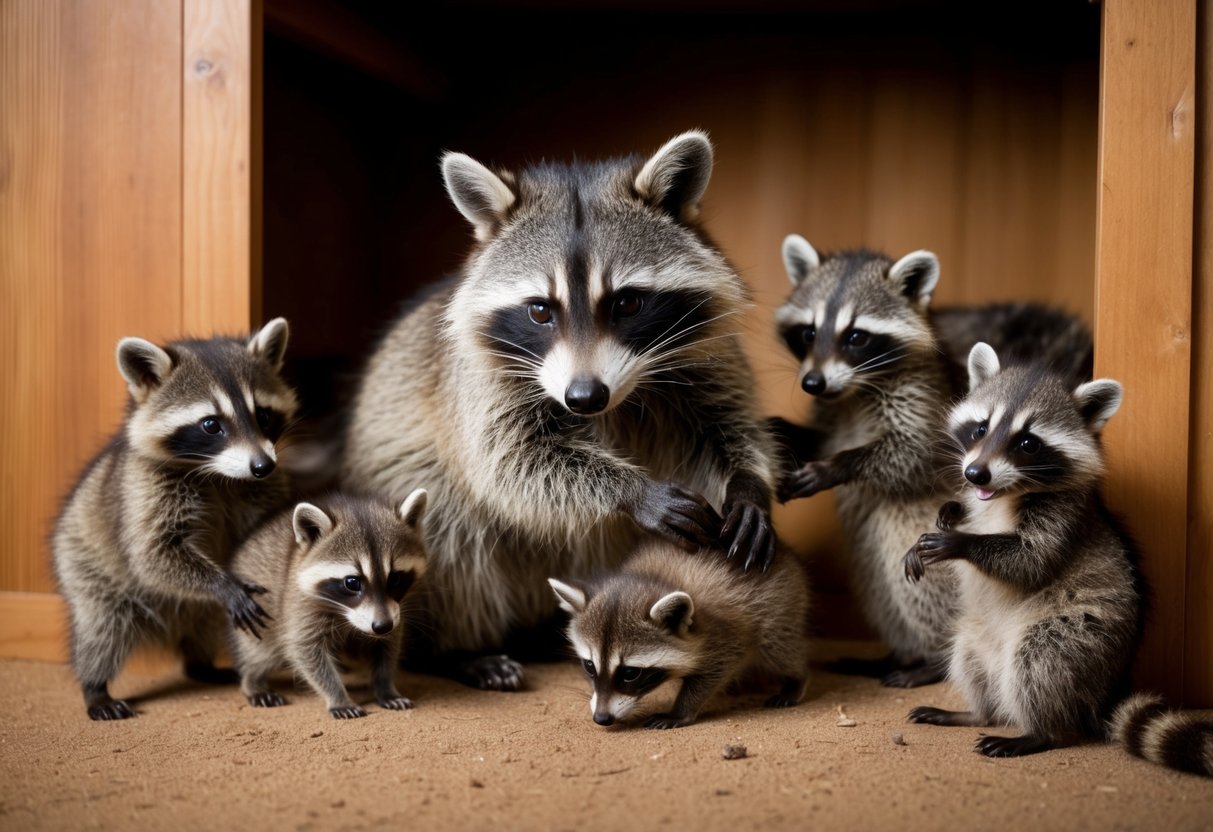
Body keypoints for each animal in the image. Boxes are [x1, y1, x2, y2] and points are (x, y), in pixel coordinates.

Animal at [52, 320, 298, 720]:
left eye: (262, 415)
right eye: (211, 424)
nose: (263, 466)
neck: (218, 474)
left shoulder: (263, 488)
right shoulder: (146, 491)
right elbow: (153, 554)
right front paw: (221, 583)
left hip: (200, 613)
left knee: (209, 624)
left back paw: (201, 664)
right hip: (84, 564)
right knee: (101, 628)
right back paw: (95, 686)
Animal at [229, 490, 428, 718]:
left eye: (395, 578)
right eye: (352, 582)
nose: (382, 626)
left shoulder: (393, 611)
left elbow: (388, 645)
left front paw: (385, 687)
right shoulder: (299, 603)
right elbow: (306, 649)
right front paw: (338, 696)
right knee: (260, 651)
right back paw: (252, 680)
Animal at [342, 131, 776, 690]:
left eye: (627, 303)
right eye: (540, 310)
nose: (585, 397)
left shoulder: (706, 352)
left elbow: (729, 424)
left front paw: (750, 483)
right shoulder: (479, 384)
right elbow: (512, 462)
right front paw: (632, 490)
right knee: (452, 532)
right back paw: (458, 649)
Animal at [548, 539, 810, 729]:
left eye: (631, 673)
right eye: (589, 666)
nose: (601, 719)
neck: (652, 578)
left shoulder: (724, 633)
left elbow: (715, 670)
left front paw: (681, 710)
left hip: (779, 605)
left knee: (779, 650)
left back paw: (796, 679)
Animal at [904, 343, 1211, 775]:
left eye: (1028, 443)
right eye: (980, 429)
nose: (976, 473)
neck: (1005, 494)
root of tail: (1105, 689)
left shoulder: (1063, 516)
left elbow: (1029, 560)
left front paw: (959, 542)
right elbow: (969, 514)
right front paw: (949, 512)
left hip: (1082, 634)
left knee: (1042, 663)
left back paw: (1043, 733)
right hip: (976, 638)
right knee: (968, 659)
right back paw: (977, 713)